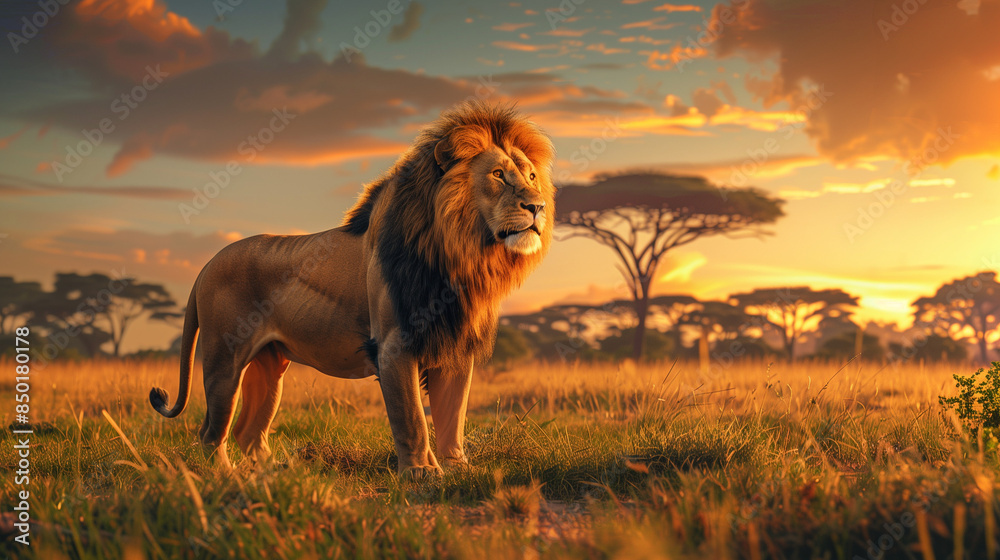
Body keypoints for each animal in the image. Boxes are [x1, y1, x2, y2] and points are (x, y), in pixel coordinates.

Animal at [150, 101, 555, 477]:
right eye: (498, 175)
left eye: (532, 175)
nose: (538, 206)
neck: (460, 255)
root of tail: (206, 265)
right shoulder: (394, 344)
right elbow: (413, 419)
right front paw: (421, 474)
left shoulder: (454, 347)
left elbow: (452, 418)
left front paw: (457, 469)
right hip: (224, 361)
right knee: (210, 434)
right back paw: (228, 476)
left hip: (269, 365)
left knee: (248, 433)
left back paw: (280, 472)